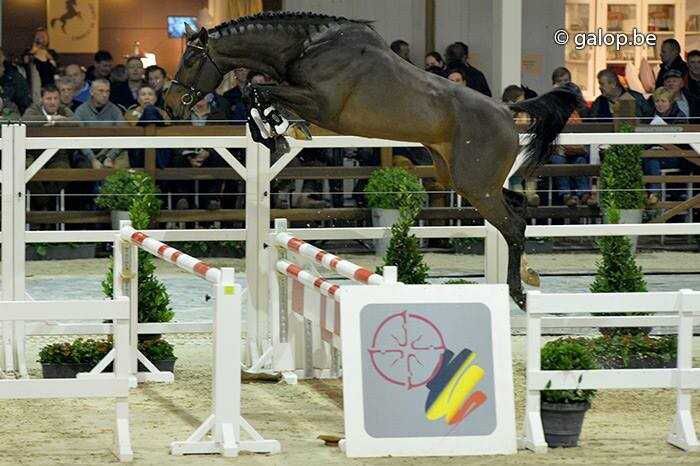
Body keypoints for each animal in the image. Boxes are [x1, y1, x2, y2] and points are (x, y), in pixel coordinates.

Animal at [164, 12, 579, 309]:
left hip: (476, 186)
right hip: (463, 180)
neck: (306, 48)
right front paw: (279, 131)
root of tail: (508, 111)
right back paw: (530, 276)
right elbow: (258, 92)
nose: (169, 106)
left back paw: (518, 293)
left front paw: (278, 135)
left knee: (512, 226)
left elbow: (256, 89)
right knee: (518, 208)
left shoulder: (322, 104)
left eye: (190, 60)